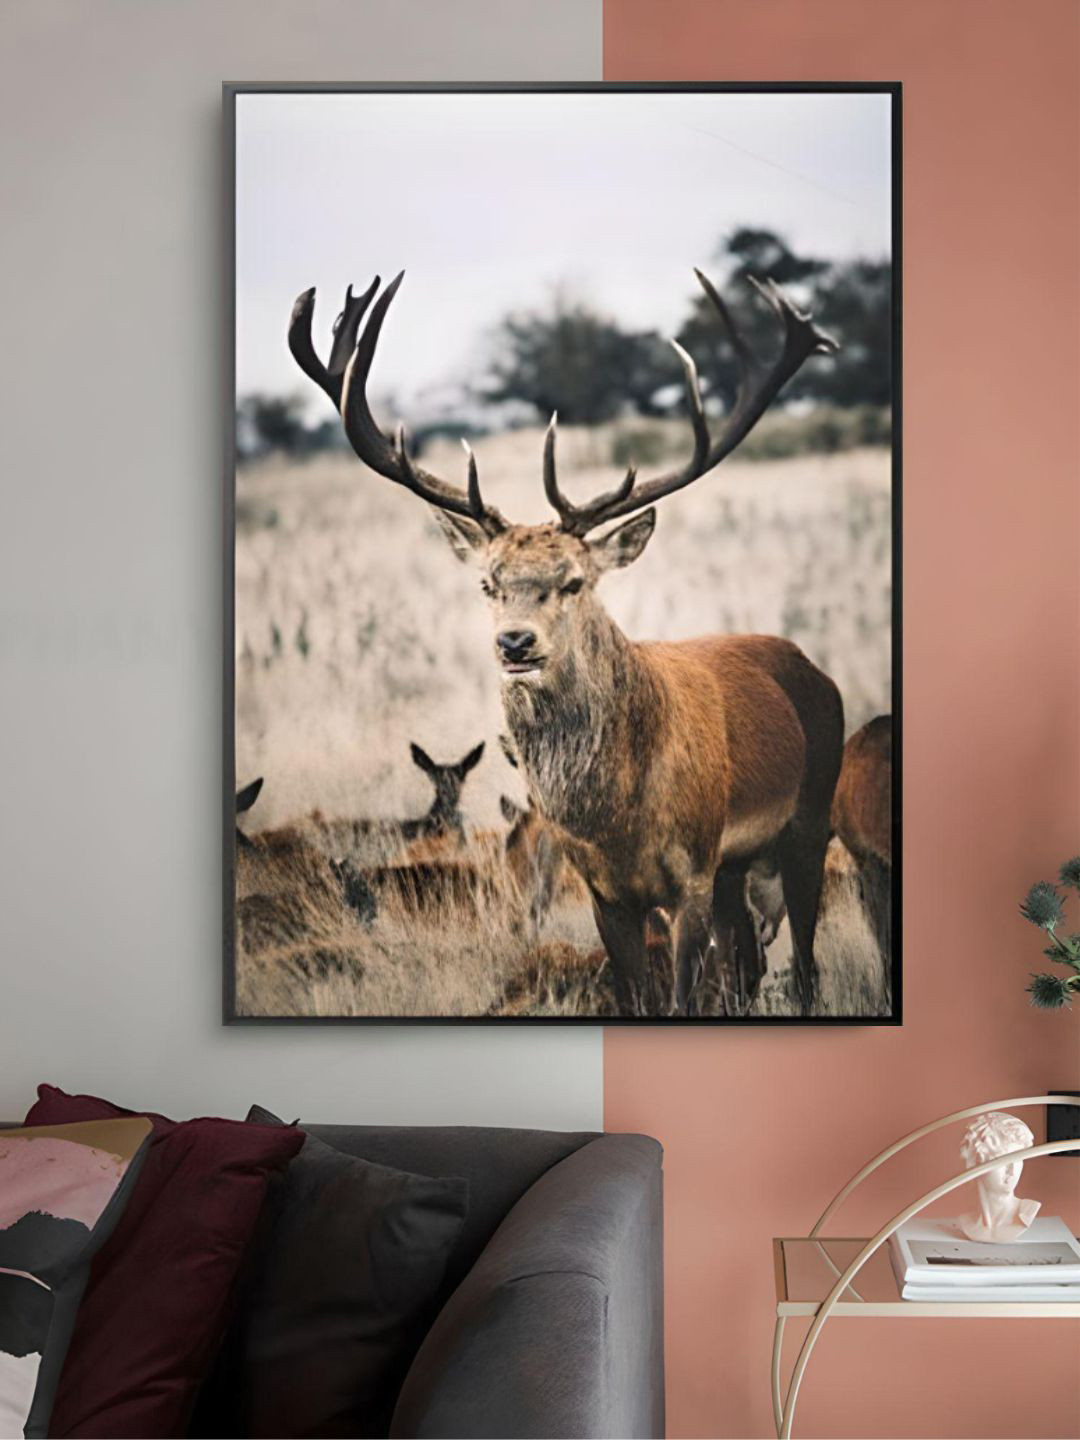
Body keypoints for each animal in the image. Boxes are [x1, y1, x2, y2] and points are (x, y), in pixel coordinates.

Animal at [287, 266, 844, 1016]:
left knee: (804, 963)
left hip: (808, 817)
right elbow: (639, 997)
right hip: (737, 865)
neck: (619, 819)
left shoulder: (690, 872)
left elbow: (681, 998)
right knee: (749, 969)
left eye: (574, 580)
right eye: (488, 583)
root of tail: (813, 668)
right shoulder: (606, 889)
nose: (515, 643)